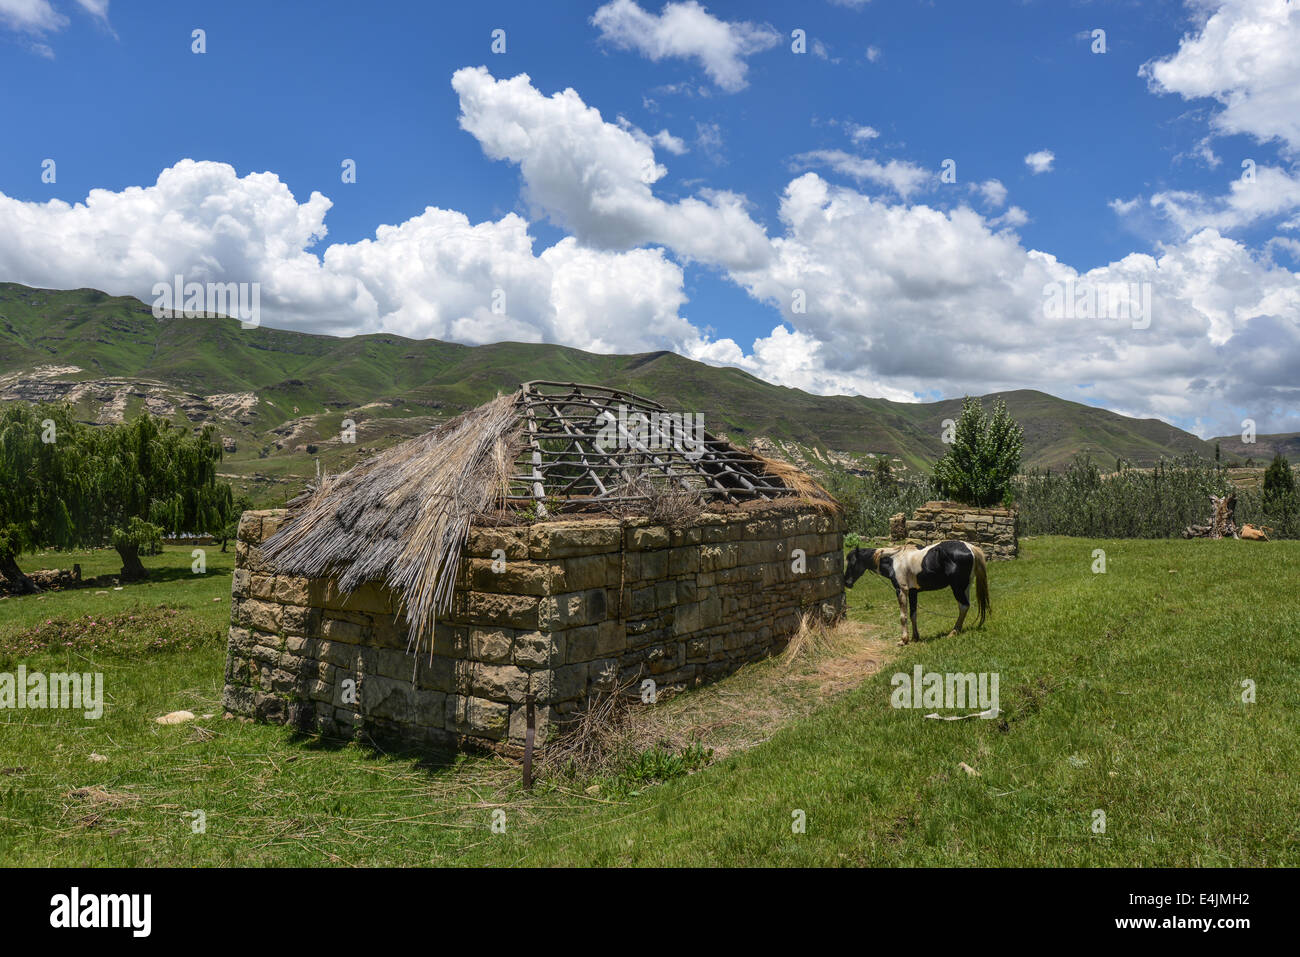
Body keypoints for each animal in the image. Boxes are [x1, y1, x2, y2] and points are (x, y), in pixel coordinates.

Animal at [844, 540, 989, 645]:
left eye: (852, 563)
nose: (847, 582)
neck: (894, 560)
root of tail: (970, 548)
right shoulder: (913, 592)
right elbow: (913, 614)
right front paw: (915, 637)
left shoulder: (901, 590)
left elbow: (903, 616)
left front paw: (904, 640)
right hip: (965, 587)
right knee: (965, 606)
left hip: (958, 587)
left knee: (963, 606)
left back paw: (954, 632)